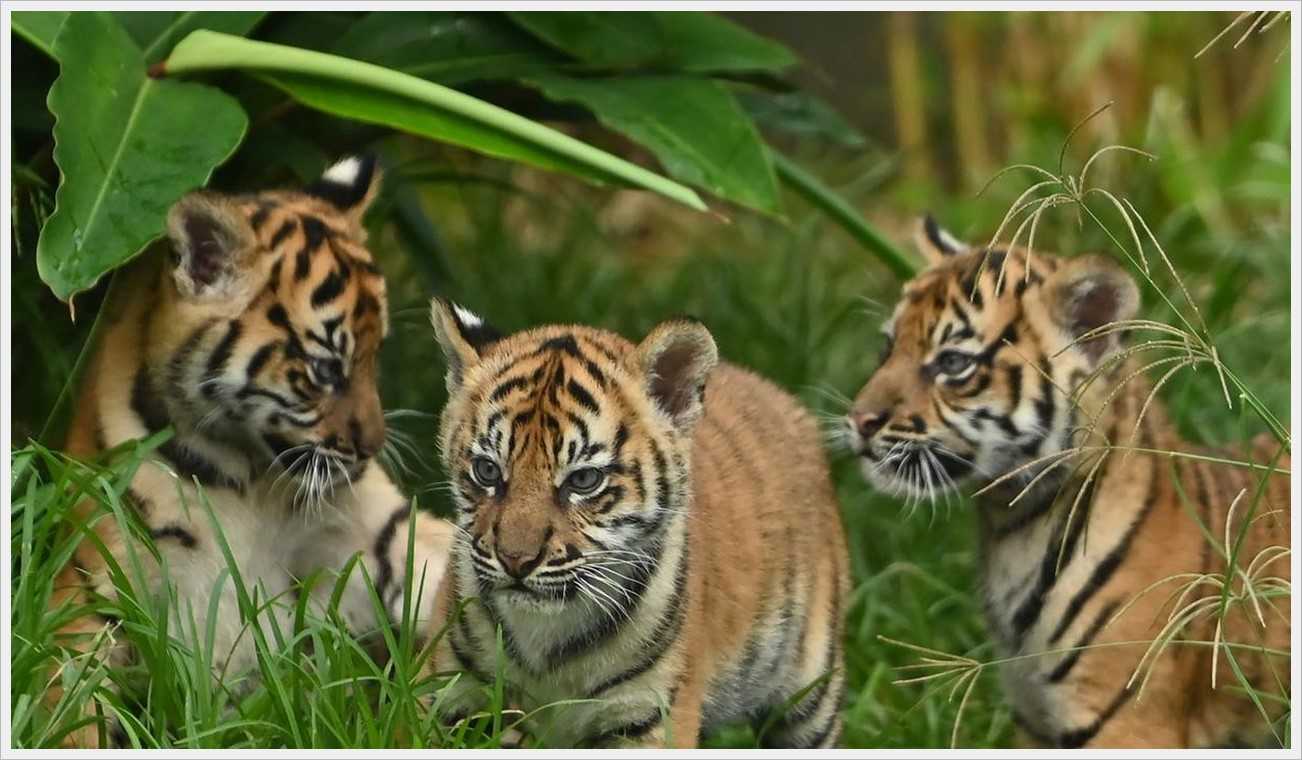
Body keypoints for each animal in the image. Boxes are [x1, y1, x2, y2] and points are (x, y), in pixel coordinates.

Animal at [47, 156, 455, 747]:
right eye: (325, 369)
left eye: (376, 354)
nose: (371, 447)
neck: (245, 476)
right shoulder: (97, 583)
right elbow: (67, 694)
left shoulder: (381, 536)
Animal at [419, 299, 850, 748]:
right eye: (487, 471)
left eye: (584, 480)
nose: (515, 560)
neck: (546, 633)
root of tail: (776, 391)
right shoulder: (446, 692)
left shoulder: (650, 716)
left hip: (810, 693)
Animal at [842, 216, 1291, 748]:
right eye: (888, 346)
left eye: (953, 362)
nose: (859, 420)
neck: (1013, 525)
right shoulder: (1035, 720)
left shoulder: (1126, 725)